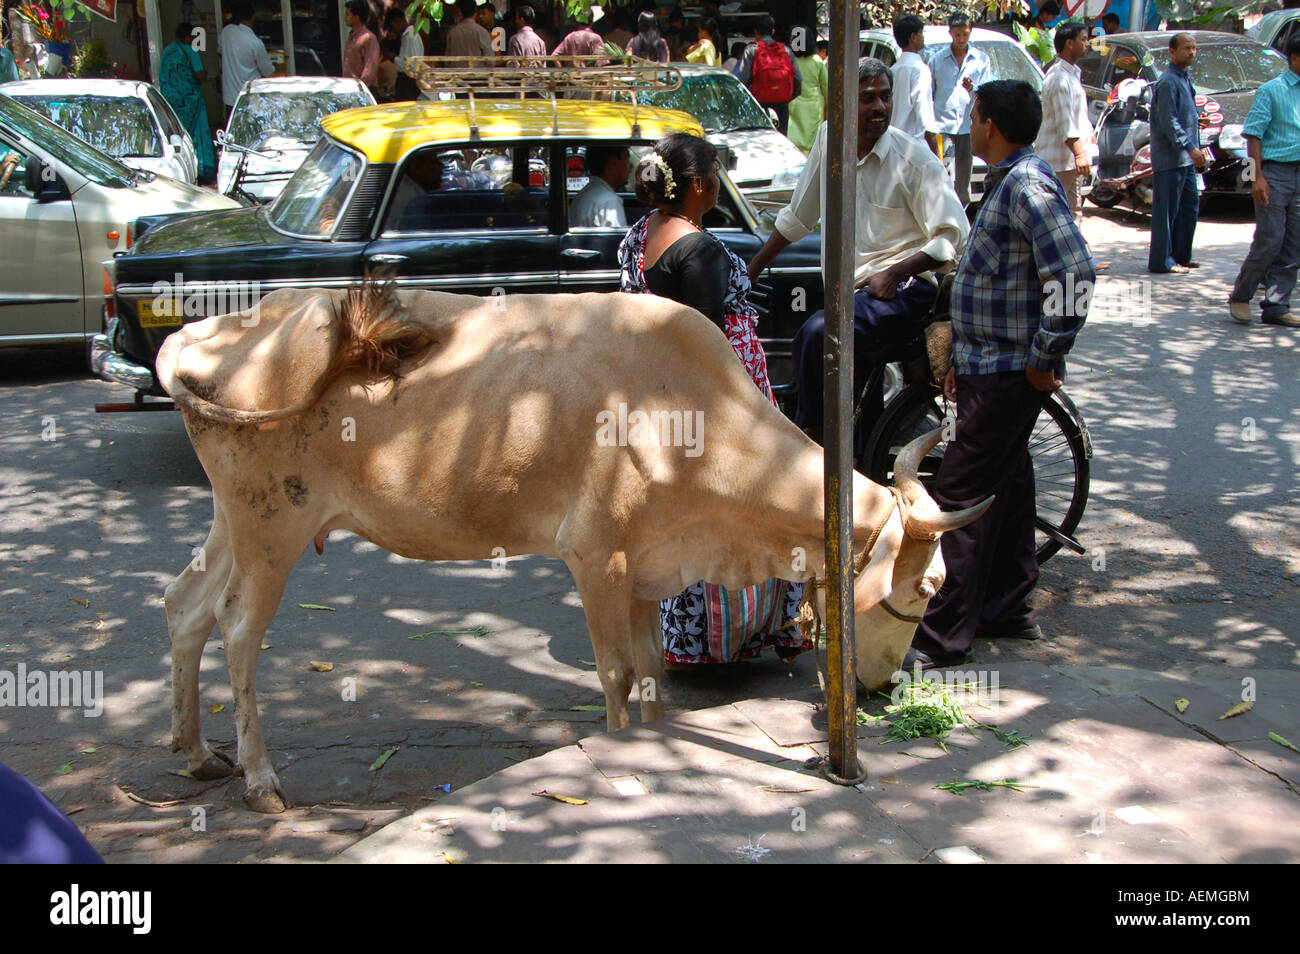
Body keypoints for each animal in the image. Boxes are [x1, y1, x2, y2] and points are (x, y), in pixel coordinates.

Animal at [156, 281, 990, 812]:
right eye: (922, 588)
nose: (878, 687)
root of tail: (212, 330)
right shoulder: (596, 560)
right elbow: (616, 676)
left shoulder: (652, 571)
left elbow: (653, 677)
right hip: (273, 528)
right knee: (237, 628)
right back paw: (260, 781)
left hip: (237, 522)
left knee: (185, 606)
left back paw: (196, 754)